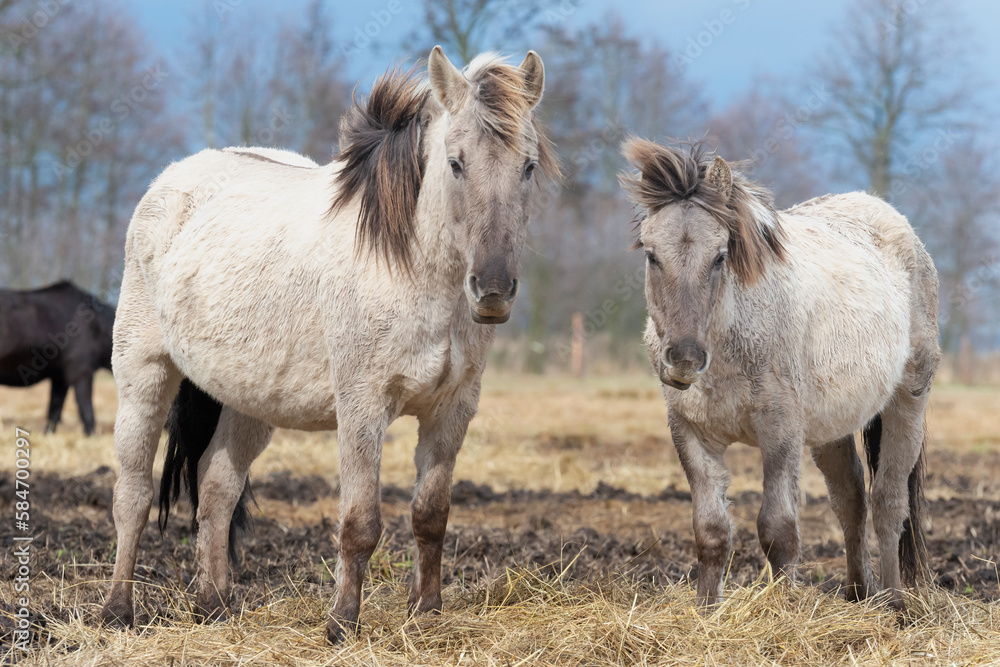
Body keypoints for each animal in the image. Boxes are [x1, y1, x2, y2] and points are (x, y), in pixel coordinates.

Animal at [0, 281, 114, 435]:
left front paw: (48, 435)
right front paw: (91, 435)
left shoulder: (60, 377)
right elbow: (86, 409)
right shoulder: (80, 371)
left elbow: (54, 410)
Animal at [99, 46, 556, 643]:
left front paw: (427, 613)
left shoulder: (451, 411)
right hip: (144, 375)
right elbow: (360, 522)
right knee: (132, 495)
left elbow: (431, 514)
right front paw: (342, 623)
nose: (494, 290)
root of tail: (171, 180)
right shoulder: (362, 407)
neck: (411, 268)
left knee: (217, 488)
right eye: (456, 163)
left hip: (250, 403)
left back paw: (213, 606)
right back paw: (117, 611)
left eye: (528, 166)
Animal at [620, 139, 940, 612]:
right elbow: (711, 532)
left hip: (908, 403)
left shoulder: (781, 431)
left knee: (888, 503)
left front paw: (783, 609)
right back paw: (858, 594)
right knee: (851, 500)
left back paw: (894, 604)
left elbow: (778, 531)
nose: (684, 359)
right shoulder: (690, 434)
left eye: (720, 256)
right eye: (651, 254)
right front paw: (706, 610)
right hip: (829, 429)